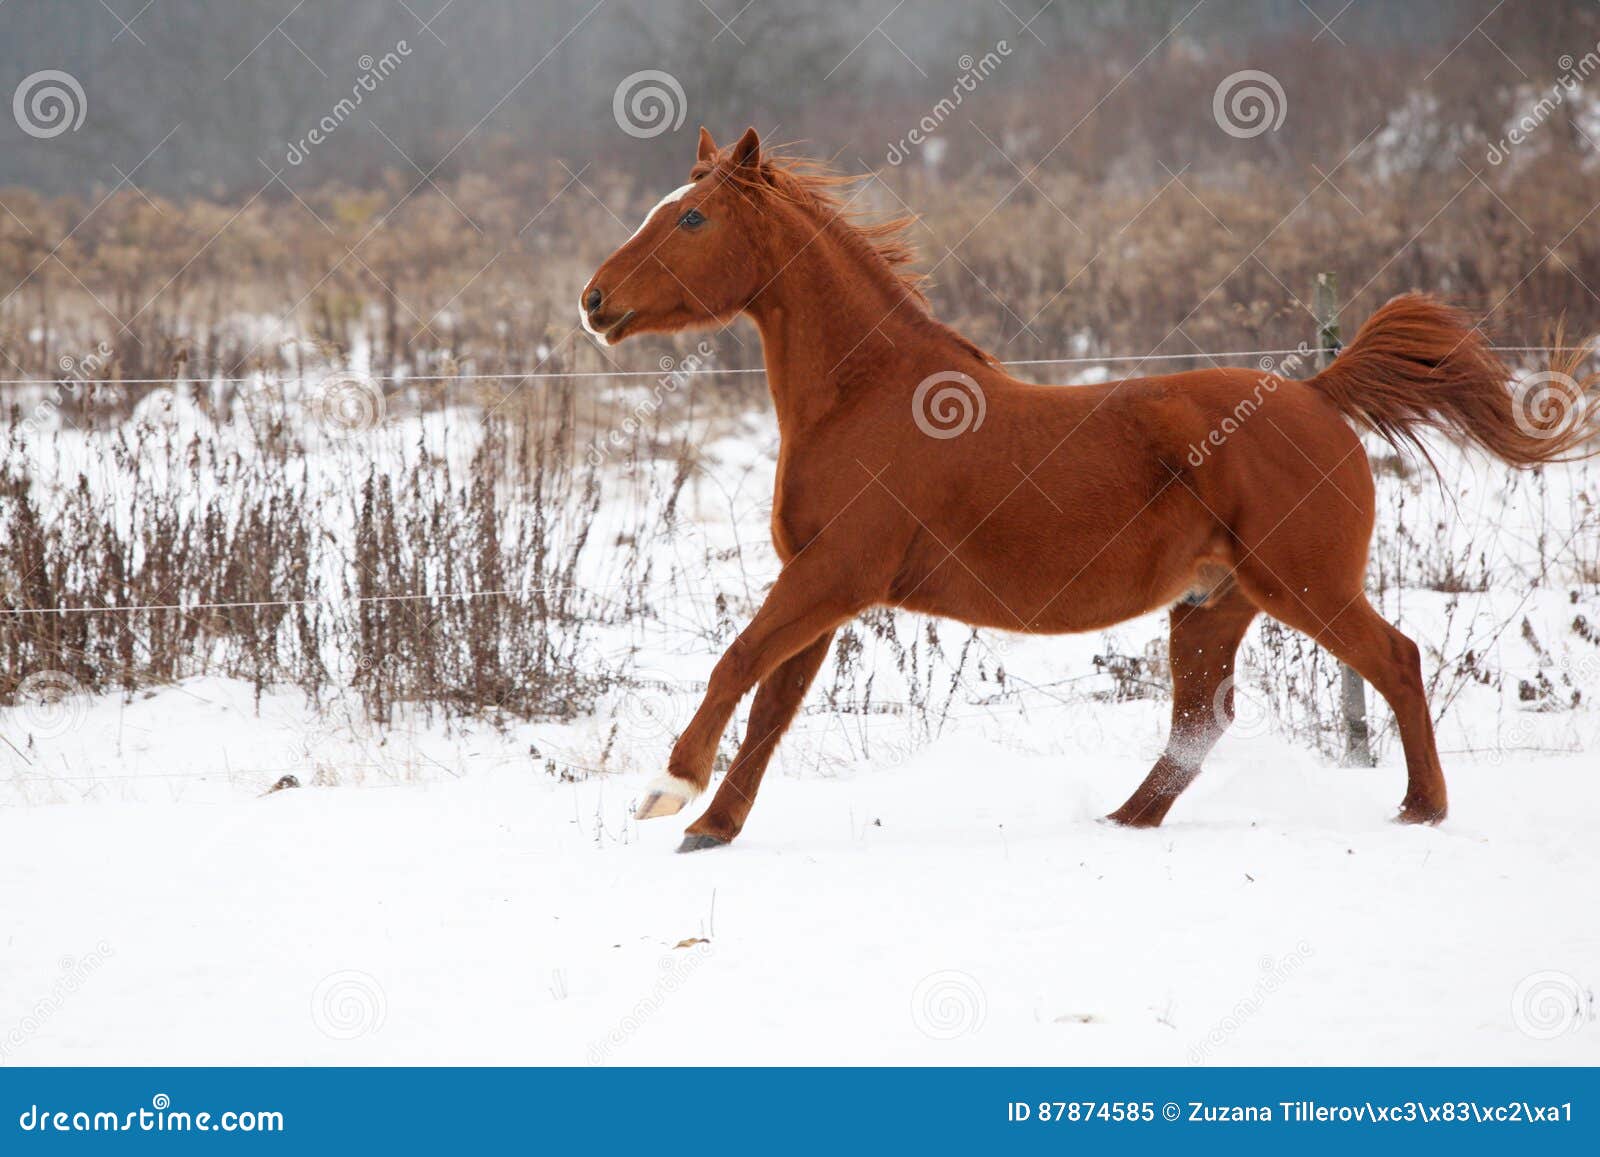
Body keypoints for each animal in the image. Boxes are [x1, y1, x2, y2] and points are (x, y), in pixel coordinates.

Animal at [580, 126, 1599, 853]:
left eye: (692, 219)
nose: (593, 301)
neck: (865, 397)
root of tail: (1317, 393)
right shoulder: (825, 589)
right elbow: (771, 703)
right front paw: (712, 826)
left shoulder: (835, 574)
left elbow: (738, 665)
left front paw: (666, 791)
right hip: (1215, 602)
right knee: (1202, 719)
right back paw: (1124, 820)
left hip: (1302, 584)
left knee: (1395, 659)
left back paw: (1420, 810)